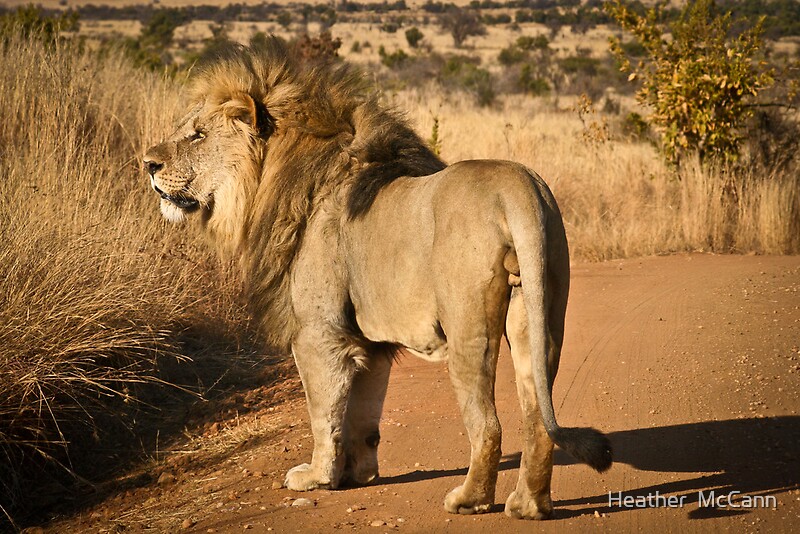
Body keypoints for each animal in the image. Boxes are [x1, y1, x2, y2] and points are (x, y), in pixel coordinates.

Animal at [143, 38, 612, 519]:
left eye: (197, 135)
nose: (148, 163)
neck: (274, 181)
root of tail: (518, 188)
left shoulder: (319, 333)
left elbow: (323, 413)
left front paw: (317, 477)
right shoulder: (369, 341)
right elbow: (363, 416)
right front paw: (359, 475)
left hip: (468, 328)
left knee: (488, 425)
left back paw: (469, 500)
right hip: (540, 312)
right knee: (537, 419)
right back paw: (528, 505)